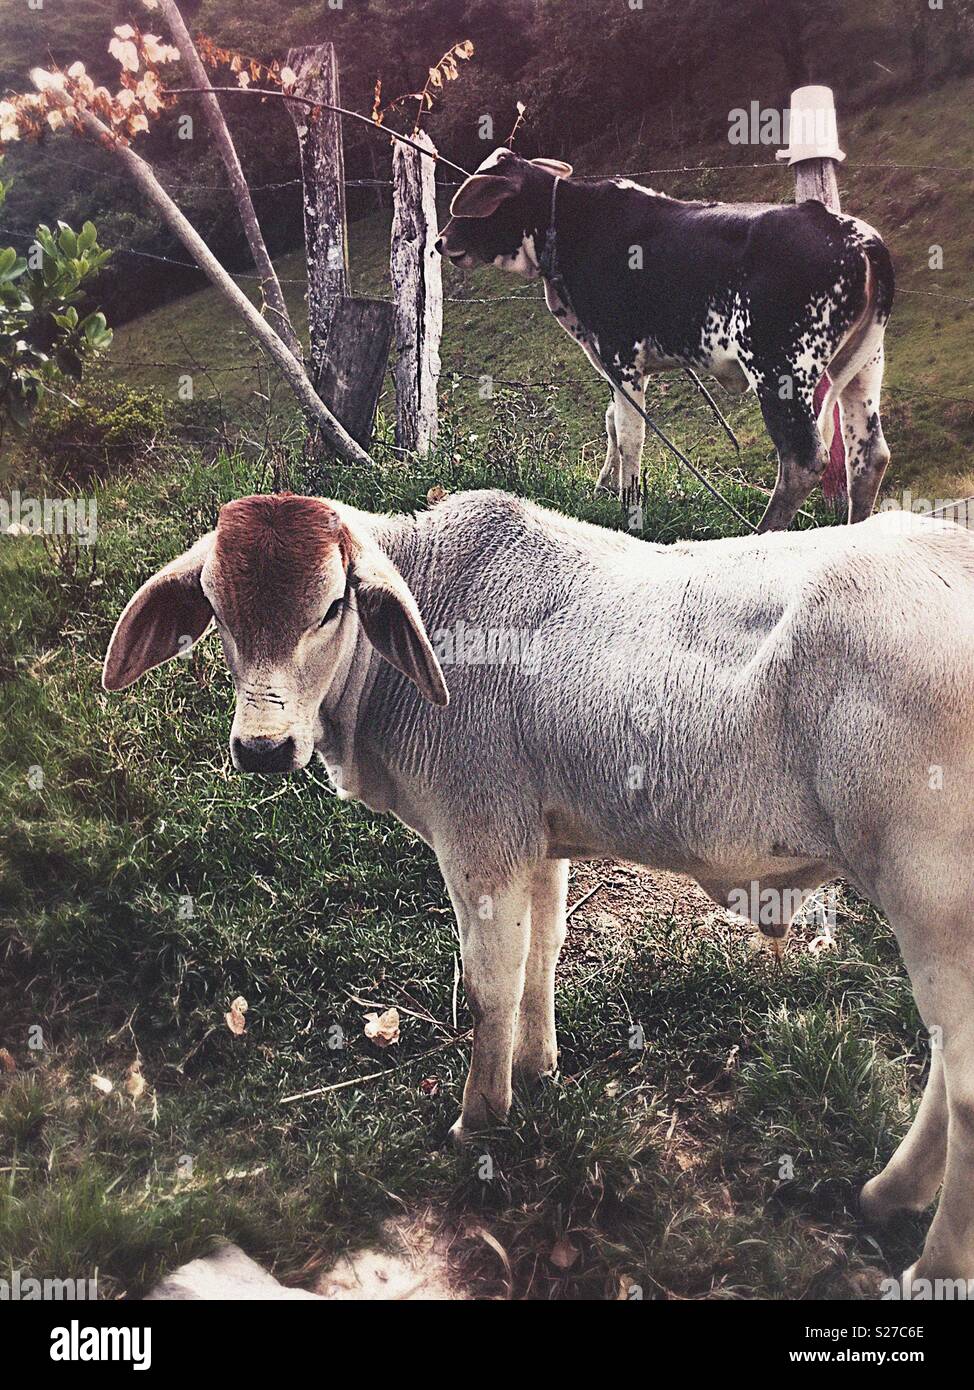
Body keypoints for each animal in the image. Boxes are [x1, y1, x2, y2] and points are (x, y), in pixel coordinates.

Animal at [103, 487, 974, 1290]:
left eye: (332, 605)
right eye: (217, 611)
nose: (262, 747)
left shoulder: (481, 836)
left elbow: (489, 982)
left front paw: (481, 1119)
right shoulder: (542, 840)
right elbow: (541, 955)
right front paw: (537, 1068)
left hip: (934, 901)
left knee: (963, 1083)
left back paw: (931, 1260)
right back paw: (889, 1195)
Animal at [435, 149, 895, 532]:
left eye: (475, 201)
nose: (440, 241)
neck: (567, 224)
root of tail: (858, 235)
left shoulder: (622, 355)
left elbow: (630, 434)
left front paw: (630, 507)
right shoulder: (611, 361)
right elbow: (612, 422)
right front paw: (606, 486)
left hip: (781, 369)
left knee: (804, 460)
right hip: (863, 369)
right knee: (868, 456)